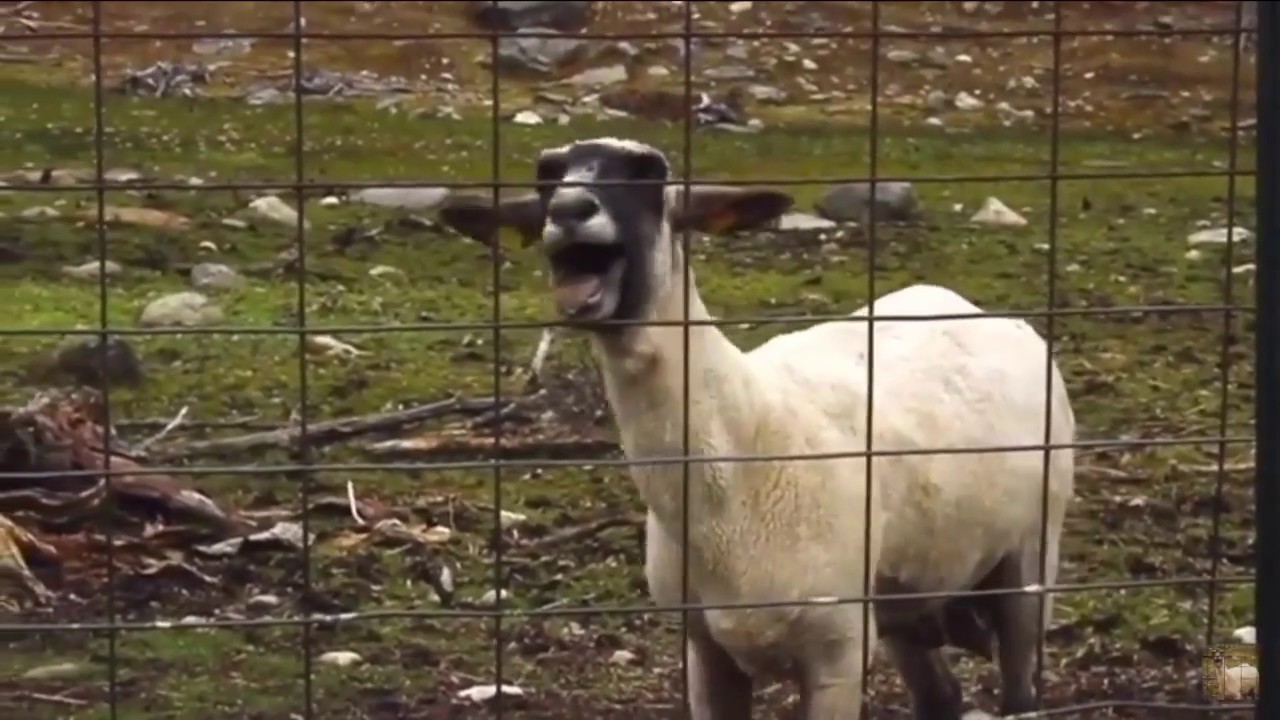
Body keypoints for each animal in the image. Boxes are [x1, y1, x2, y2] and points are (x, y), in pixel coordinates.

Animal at [438, 137, 1076, 720]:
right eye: (548, 175)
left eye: (649, 174)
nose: (570, 210)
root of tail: (973, 307)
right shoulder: (705, 649)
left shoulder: (838, 652)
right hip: (908, 591)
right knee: (940, 696)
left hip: (1031, 554)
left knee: (1021, 686)